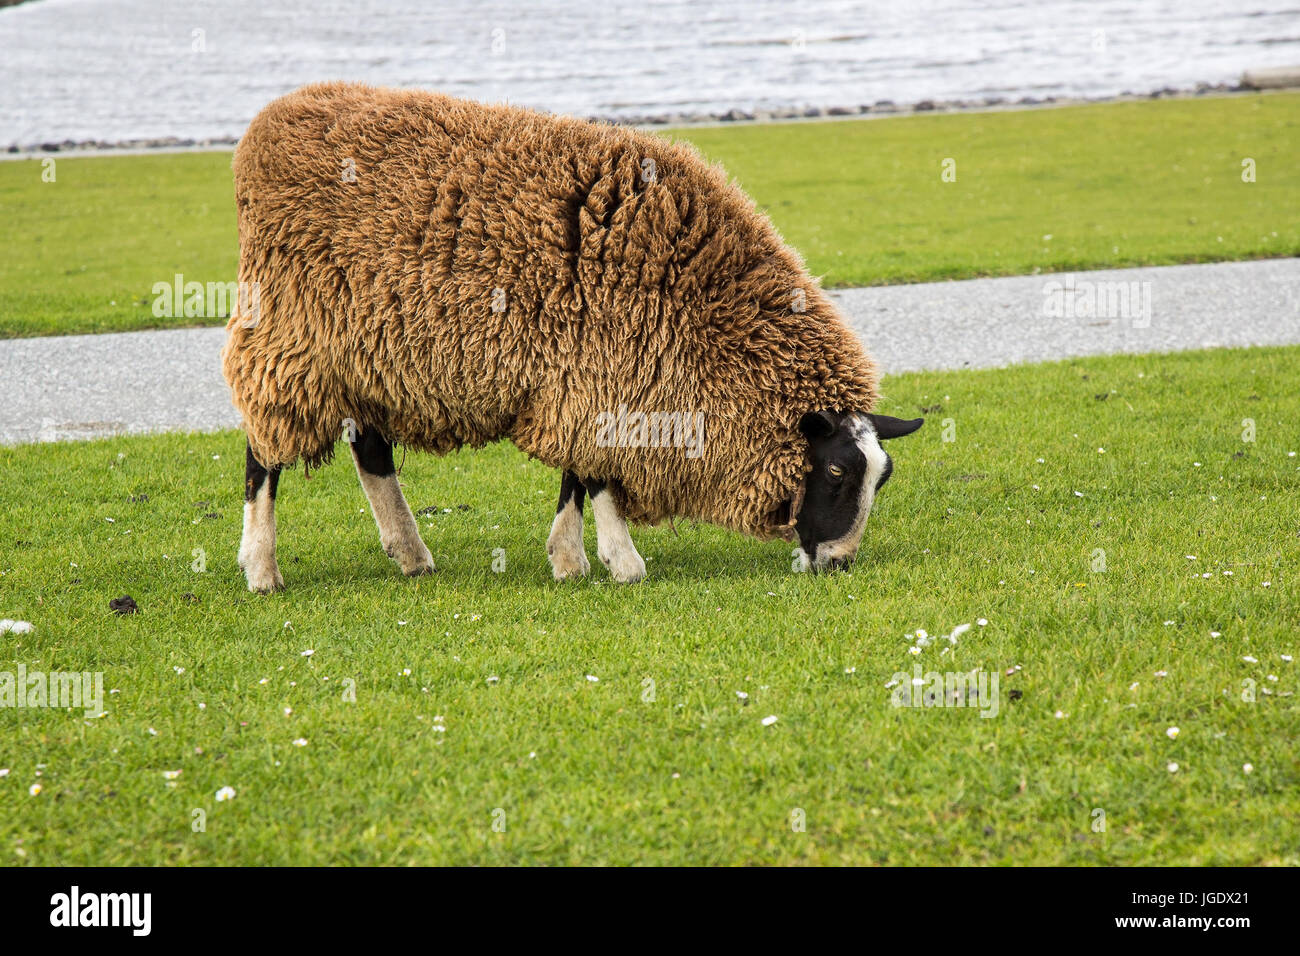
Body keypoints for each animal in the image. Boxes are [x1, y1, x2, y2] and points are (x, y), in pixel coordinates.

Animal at [222, 82, 922, 591]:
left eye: (880, 480)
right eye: (835, 471)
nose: (839, 562)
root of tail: (272, 122)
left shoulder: (590, 375)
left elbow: (580, 473)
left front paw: (571, 559)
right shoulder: (604, 375)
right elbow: (599, 474)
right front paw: (619, 562)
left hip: (365, 354)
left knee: (369, 448)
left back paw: (410, 553)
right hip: (288, 340)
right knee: (263, 456)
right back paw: (262, 569)